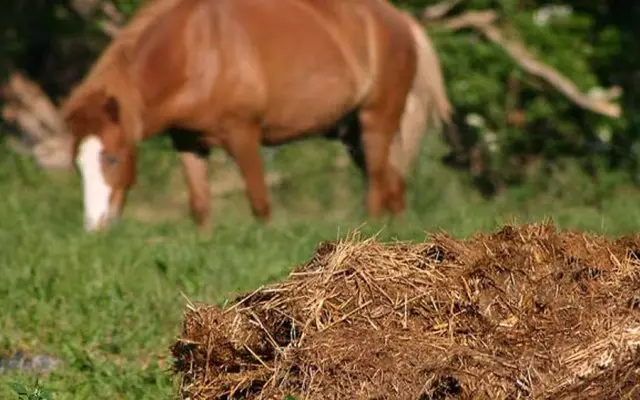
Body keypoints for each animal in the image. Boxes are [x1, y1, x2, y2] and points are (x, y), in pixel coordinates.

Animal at [60, 0, 450, 233]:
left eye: (112, 158)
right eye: (78, 164)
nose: (95, 225)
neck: (194, 50)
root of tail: (400, 20)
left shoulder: (243, 134)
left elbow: (260, 203)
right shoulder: (188, 143)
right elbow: (200, 206)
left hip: (376, 121)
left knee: (377, 187)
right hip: (353, 134)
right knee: (392, 184)